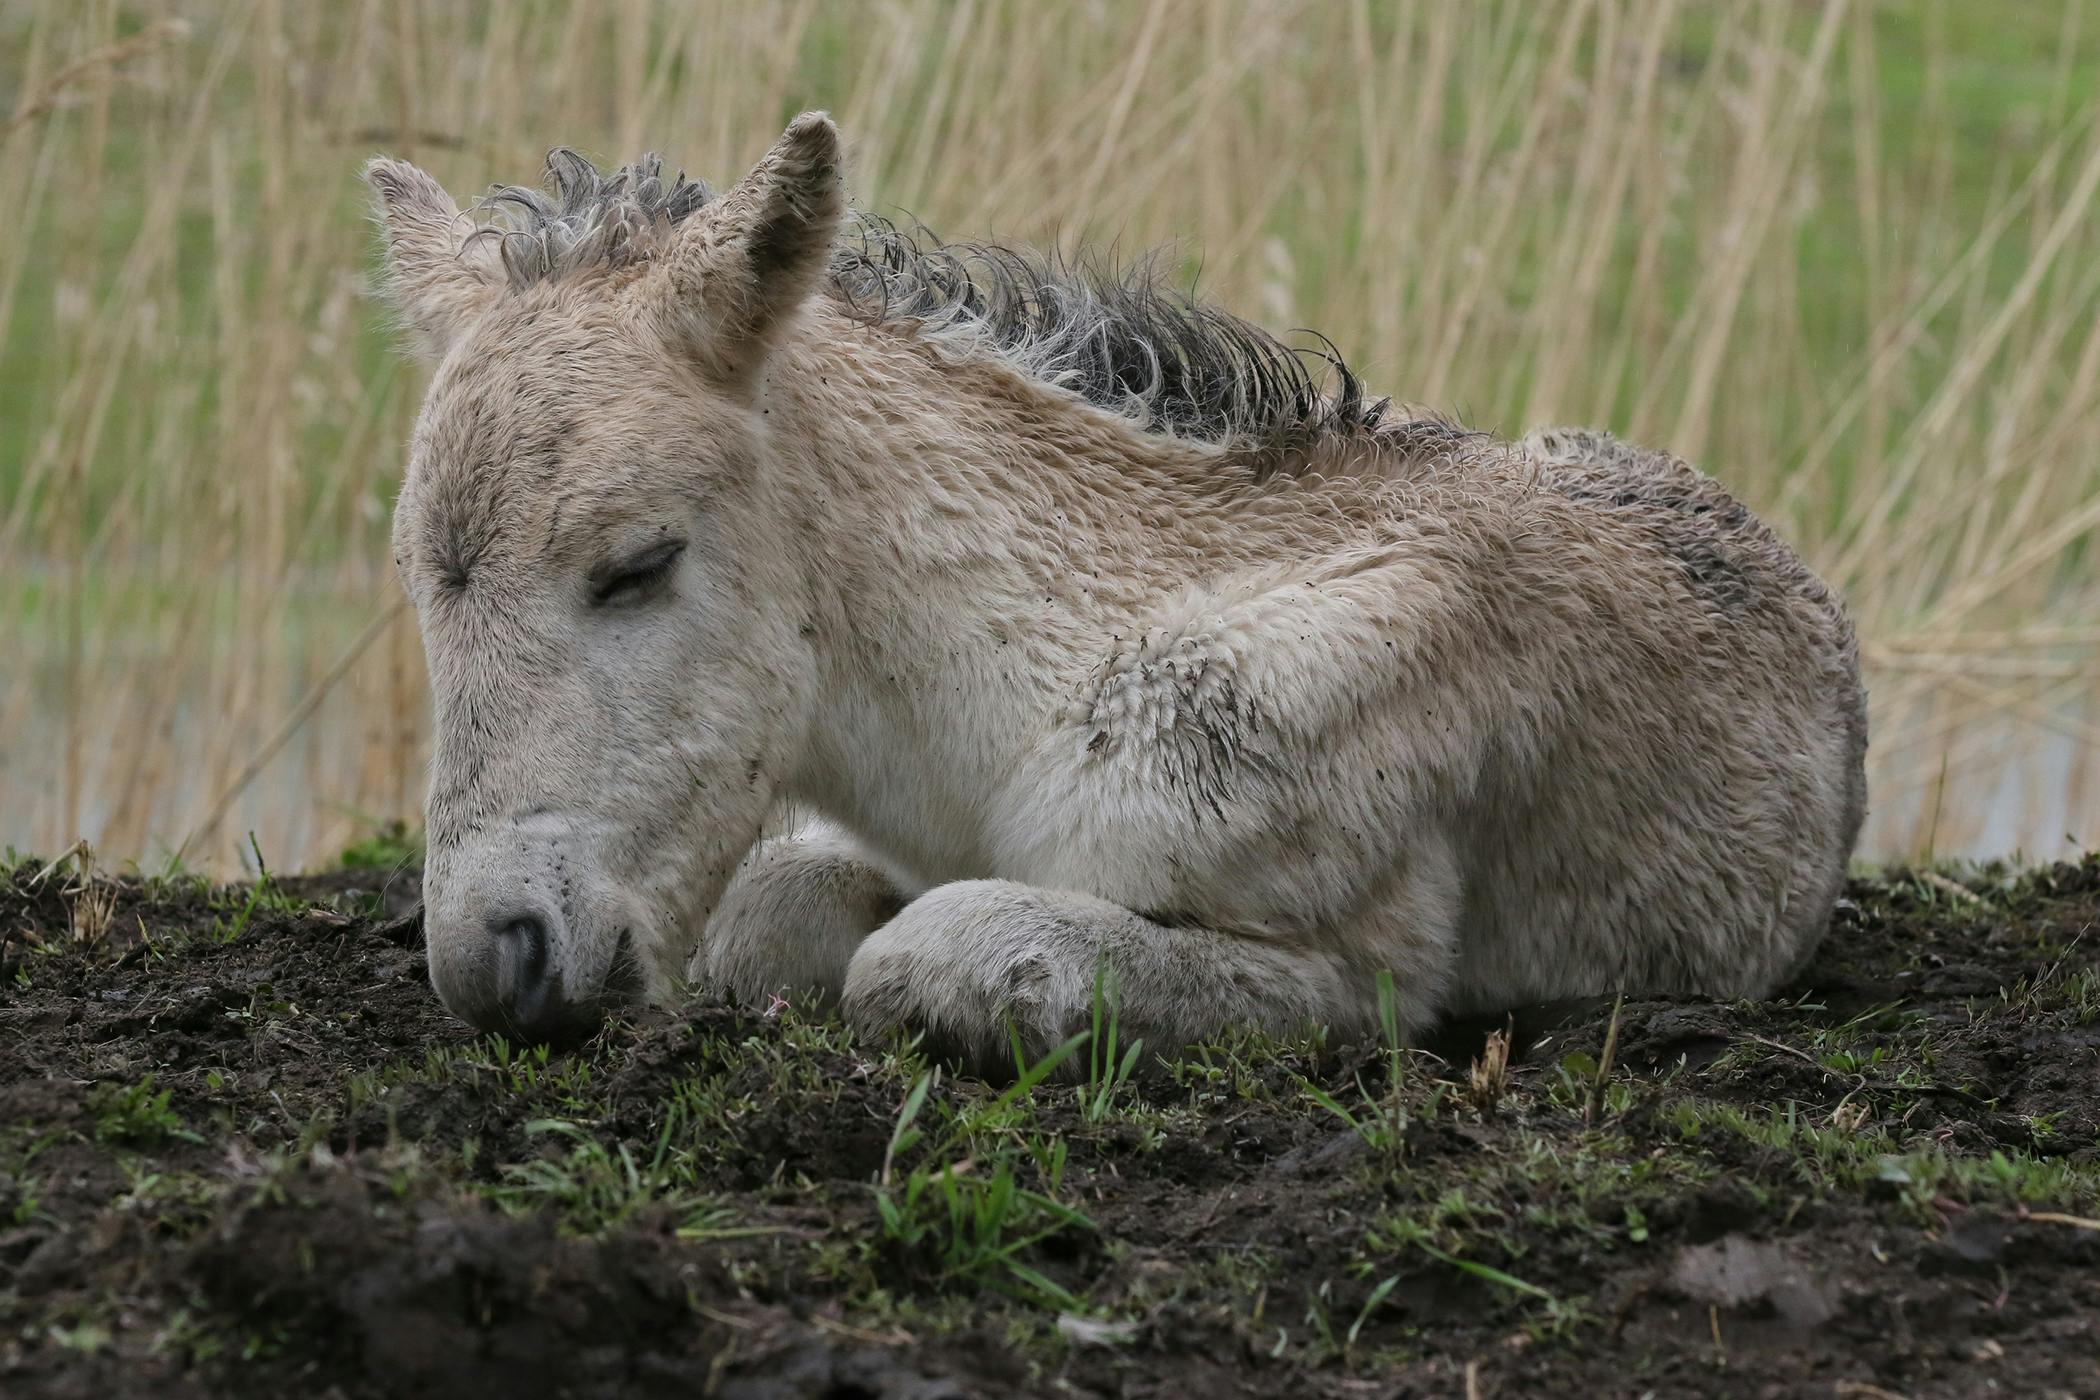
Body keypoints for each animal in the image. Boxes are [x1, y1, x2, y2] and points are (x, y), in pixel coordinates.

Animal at [364, 113, 1866, 1069]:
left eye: (639, 564)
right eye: (422, 589)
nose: (494, 959)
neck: (1036, 674)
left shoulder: (1360, 967)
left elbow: (922, 962)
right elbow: (765, 920)